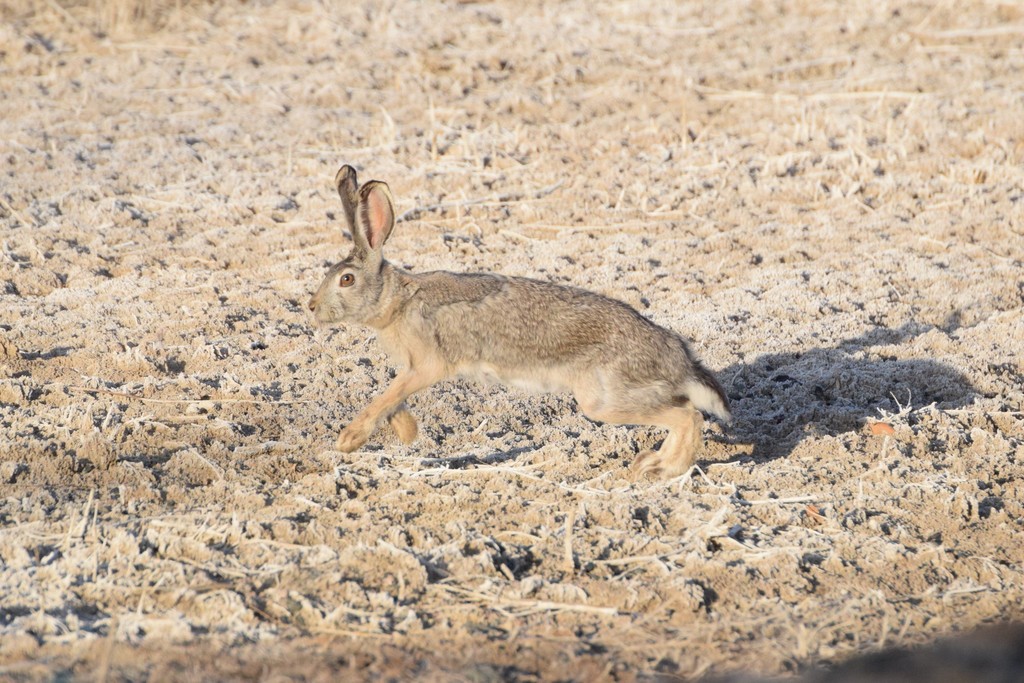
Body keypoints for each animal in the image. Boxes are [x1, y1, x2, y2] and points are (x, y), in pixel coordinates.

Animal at [308, 165, 731, 478]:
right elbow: (392, 402)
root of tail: (678, 359)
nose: (311, 307)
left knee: (688, 416)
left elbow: (386, 397)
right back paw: (652, 462)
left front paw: (348, 439)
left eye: (346, 280)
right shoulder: (410, 369)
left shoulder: (428, 364)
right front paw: (407, 432)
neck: (395, 301)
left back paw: (661, 470)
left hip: (605, 399)